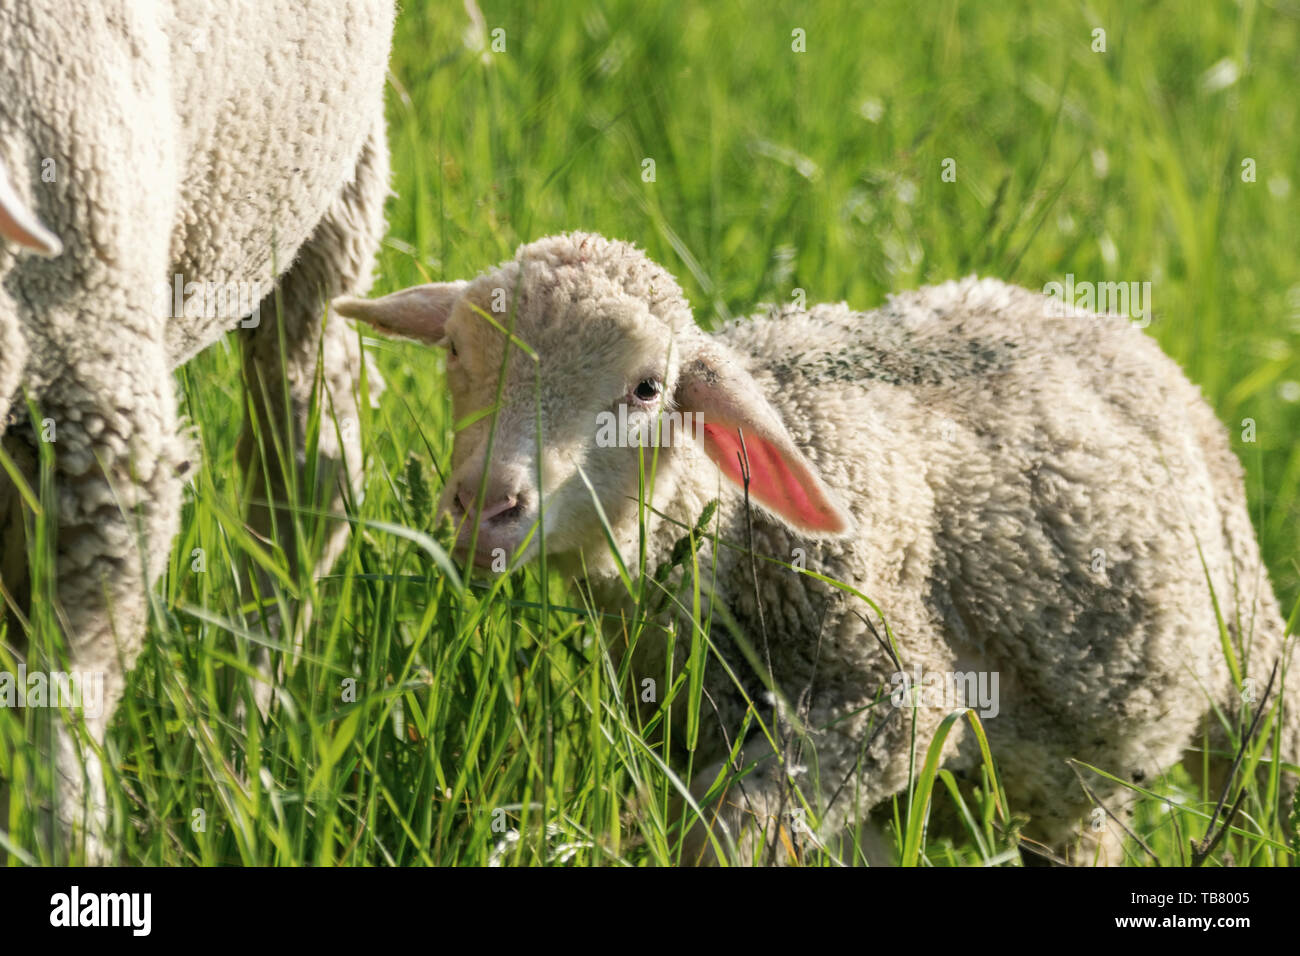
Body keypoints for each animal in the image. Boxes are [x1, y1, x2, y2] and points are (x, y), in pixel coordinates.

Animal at [0, 0, 394, 860]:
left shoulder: (98, 431)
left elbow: (60, 690)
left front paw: (65, 834)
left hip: (320, 182)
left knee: (310, 457)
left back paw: (243, 741)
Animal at [336, 231, 1298, 865]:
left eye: (647, 389)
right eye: (455, 351)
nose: (486, 505)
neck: (728, 538)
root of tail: (1099, 320)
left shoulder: (884, 703)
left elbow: (728, 838)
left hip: (1248, 664)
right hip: (1072, 783)